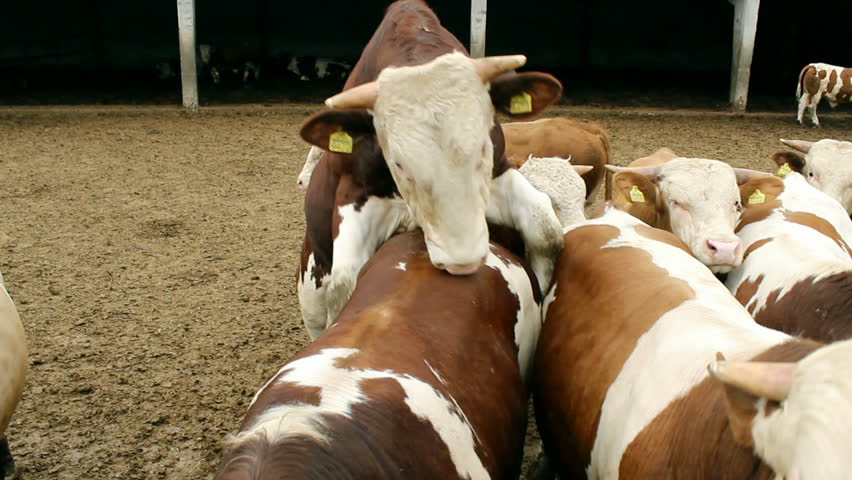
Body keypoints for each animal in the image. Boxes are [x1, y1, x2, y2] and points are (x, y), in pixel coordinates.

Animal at [297, 0, 564, 339]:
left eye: (484, 145)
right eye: (398, 162)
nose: (461, 262)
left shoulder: (498, 174)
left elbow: (545, 229)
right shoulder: (353, 195)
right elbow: (344, 280)